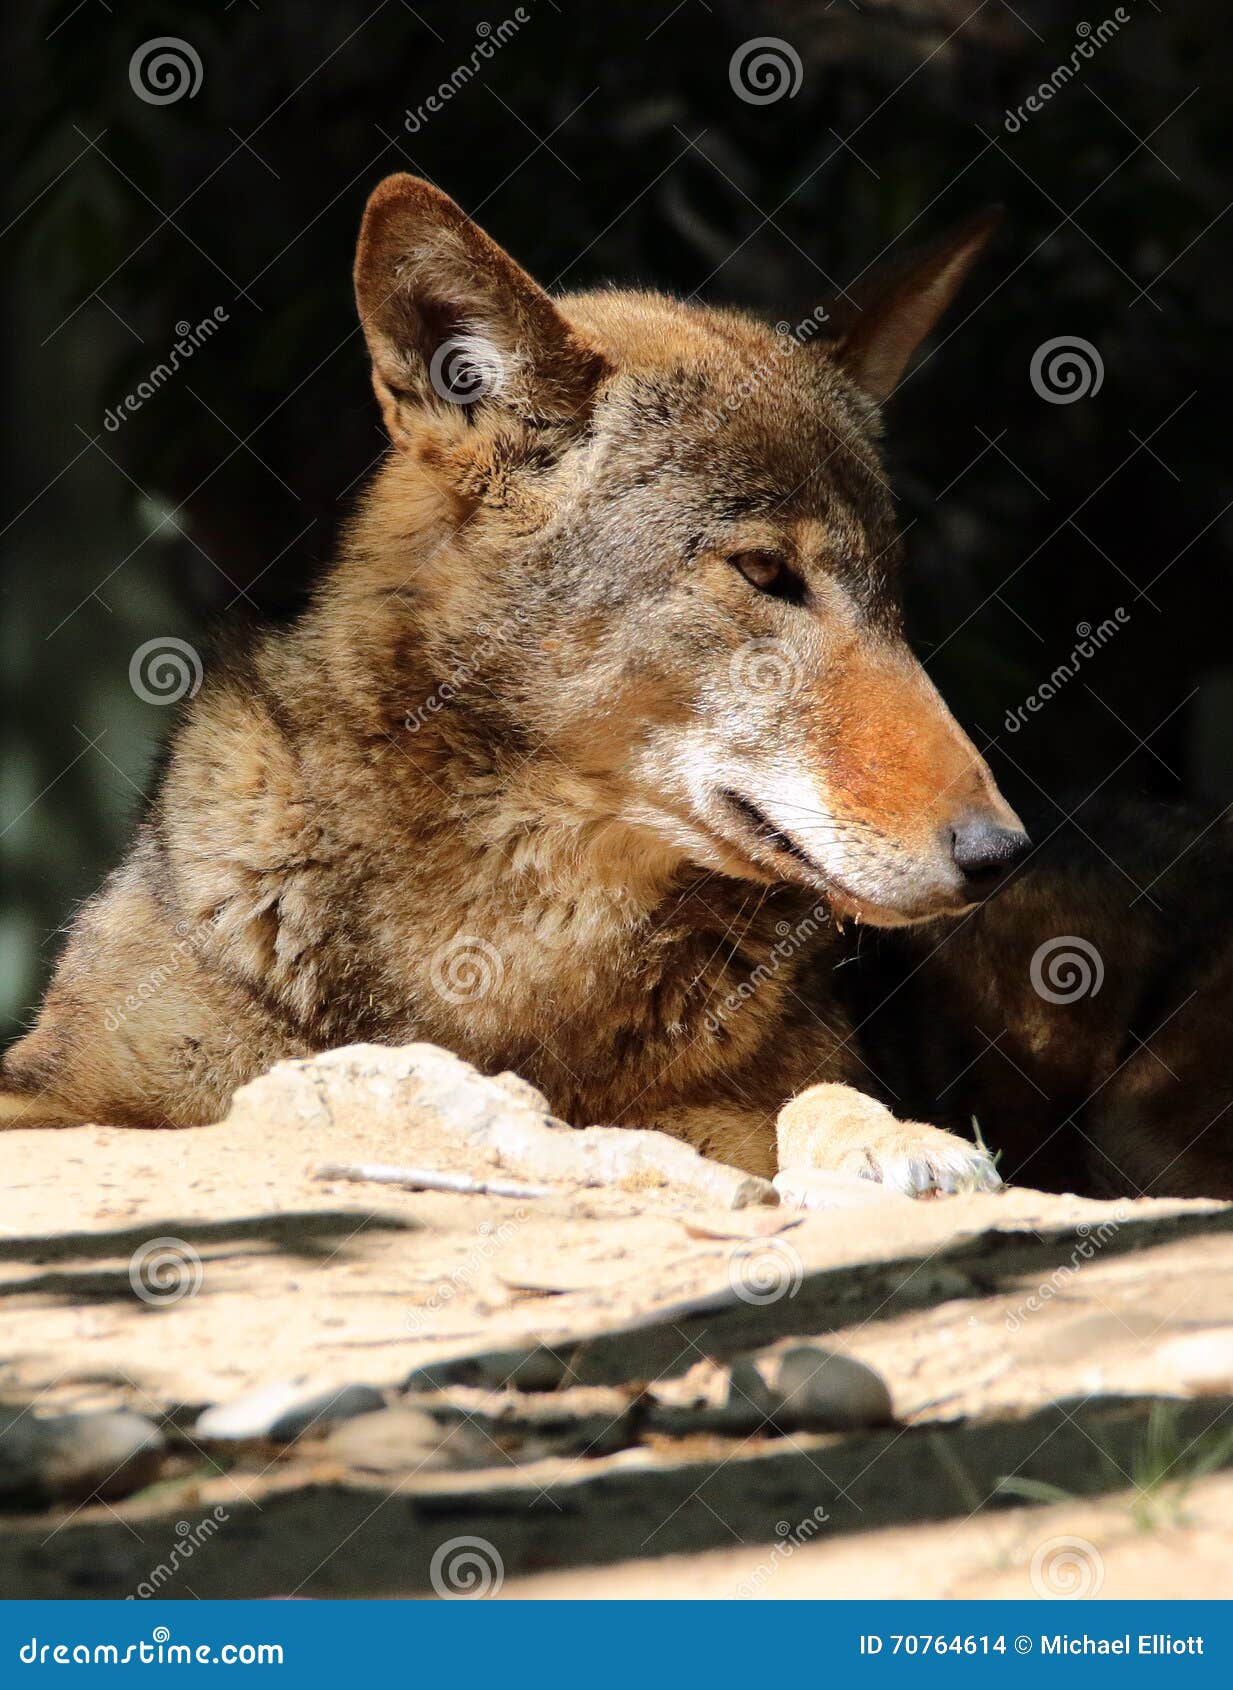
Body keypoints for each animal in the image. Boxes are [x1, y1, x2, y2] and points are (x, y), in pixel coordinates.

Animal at [1, 173, 1033, 1198]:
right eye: (763, 572)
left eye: (891, 596)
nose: (998, 852)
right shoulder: (57, 1090)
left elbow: (812, 1099)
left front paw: (892, 1141)